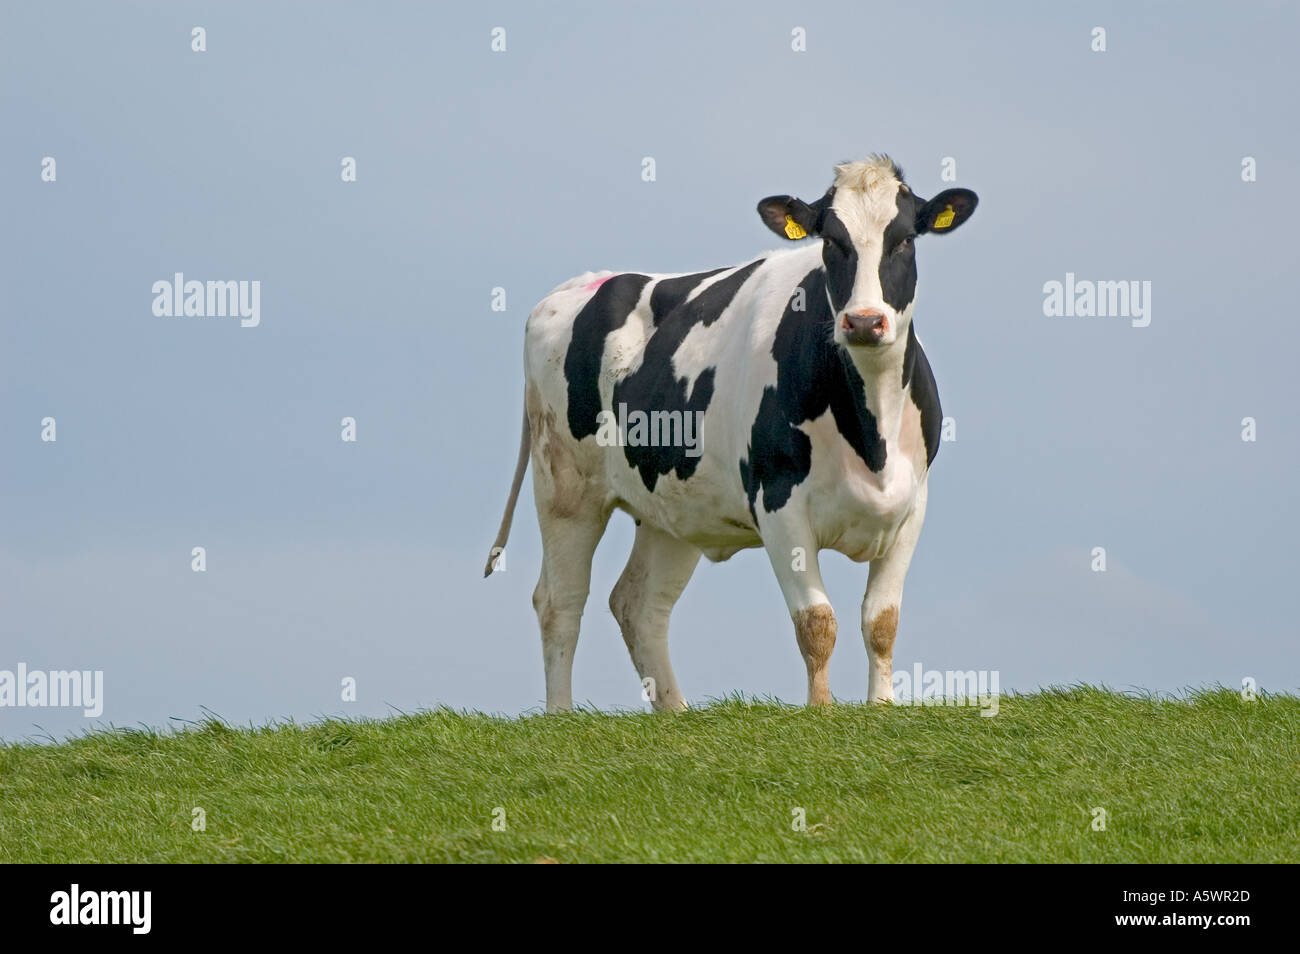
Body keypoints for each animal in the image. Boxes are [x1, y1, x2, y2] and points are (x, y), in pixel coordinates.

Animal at [485, 155, 978, 712]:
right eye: (832, 241)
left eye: (906, 239)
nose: (864, 322)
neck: (871, 438)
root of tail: (578, 286)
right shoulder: (778, 500)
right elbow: (817, 623)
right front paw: (822, 713)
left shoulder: (912, 504)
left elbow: (881, 623)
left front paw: (882, 709)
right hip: (565, 486)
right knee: (560, 600)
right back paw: (561, 716)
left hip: (672, 505)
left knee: (637, 603)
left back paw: (676, 714)